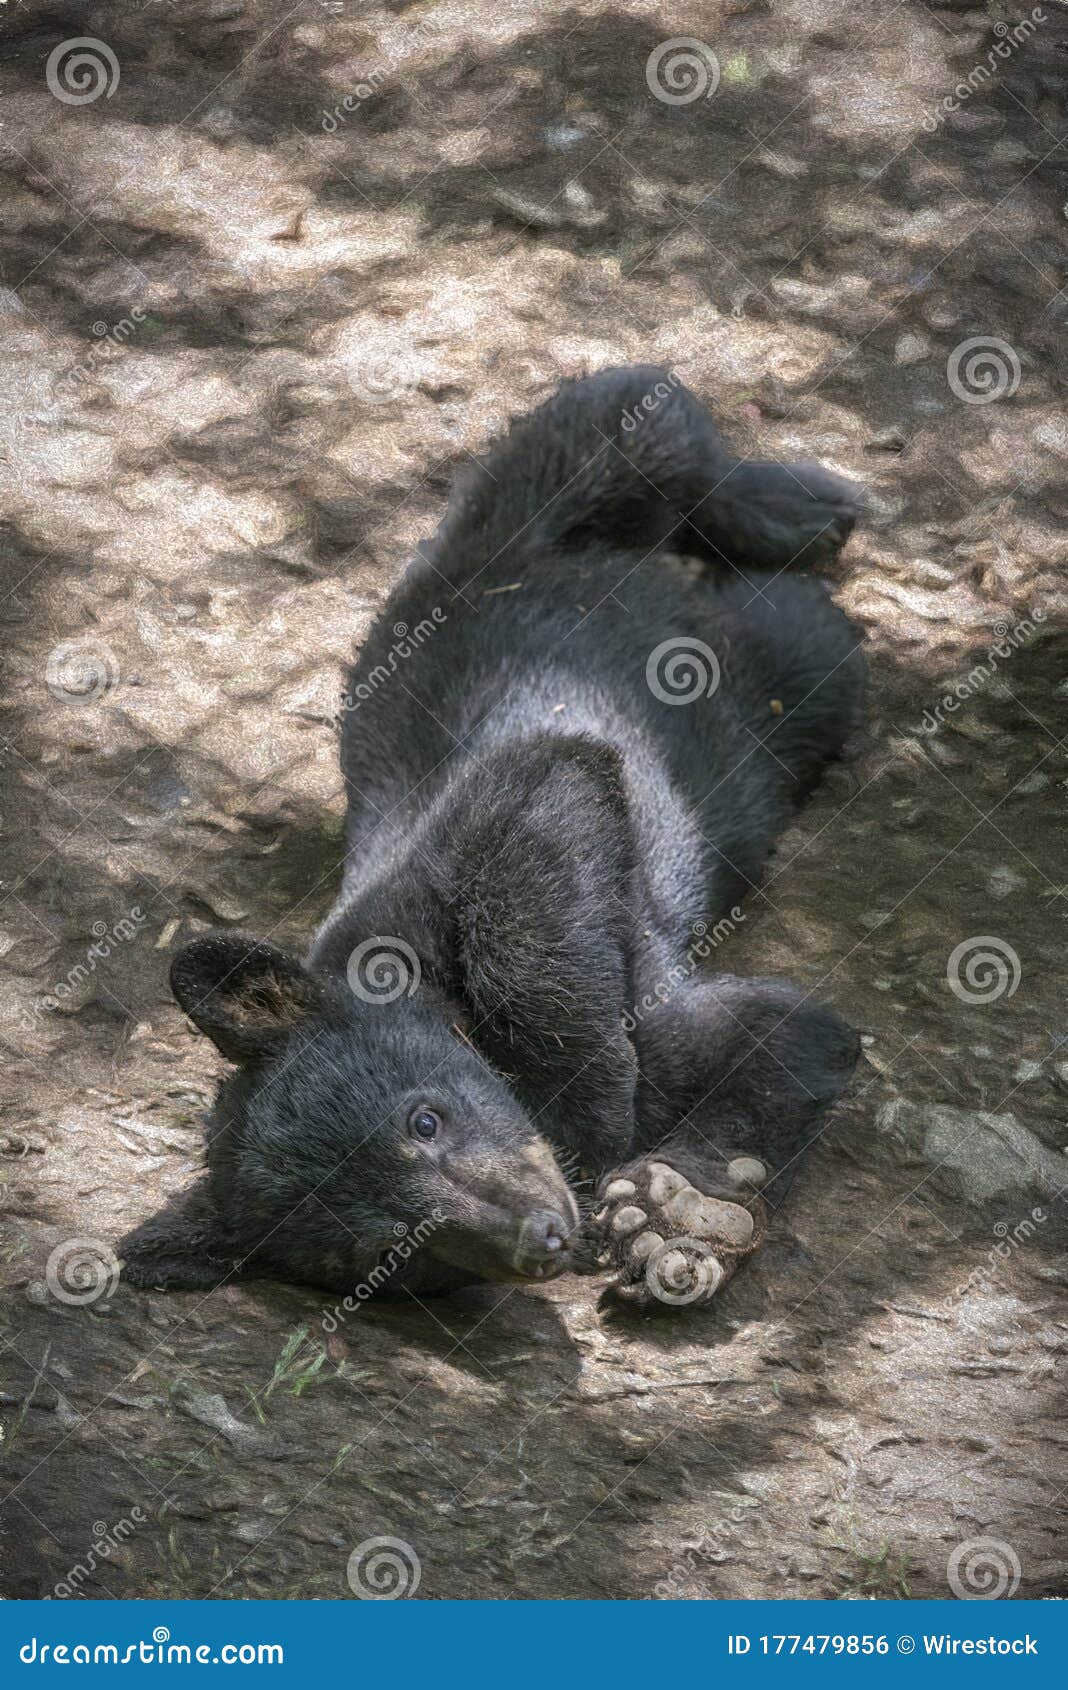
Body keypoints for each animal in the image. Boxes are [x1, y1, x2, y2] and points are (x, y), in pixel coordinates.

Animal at [119, 365, 865, 1313]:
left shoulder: (500, 811)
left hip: (518, 521)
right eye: (396, 1253)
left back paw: (802, 507)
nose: (542, 1234)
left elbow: (769, 1025)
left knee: (641, 430)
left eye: (425, 1118)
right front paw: (662, 1206)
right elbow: (789, 1038)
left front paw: (654, 1190)